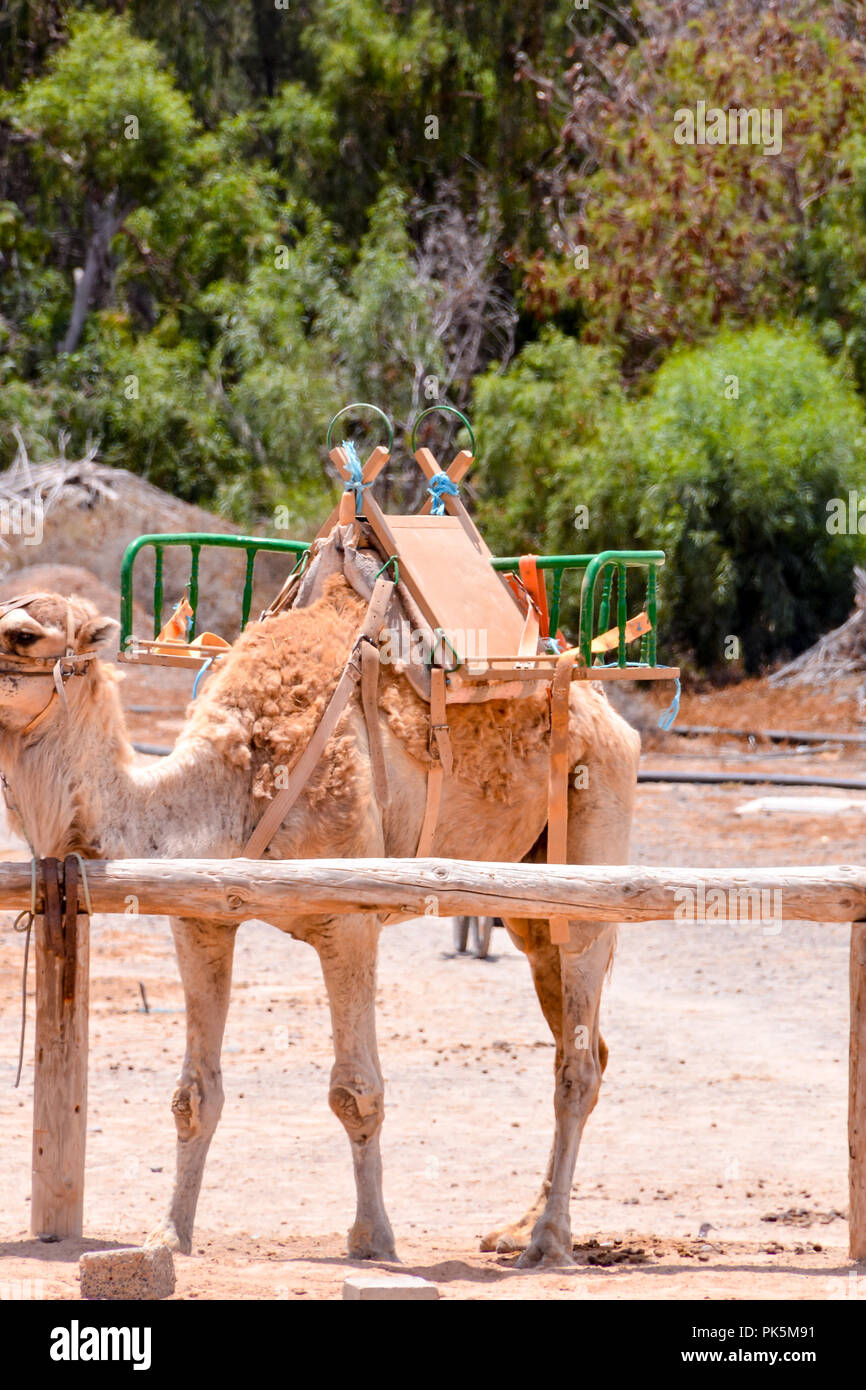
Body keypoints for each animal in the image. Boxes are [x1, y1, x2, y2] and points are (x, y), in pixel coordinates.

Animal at [0, 578, 640, 1267]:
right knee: (580, 1044)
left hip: (592, 845)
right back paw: (518, 1227)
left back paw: (546, 1241)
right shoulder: (198, 918)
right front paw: (168, 1235)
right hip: (530, 902)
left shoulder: (348, 919)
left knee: (578, 1064)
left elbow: (355, 1092)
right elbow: (193, 1096)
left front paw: (374, 1240)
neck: (235, 785)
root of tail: (611, 716)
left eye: (23, 635)